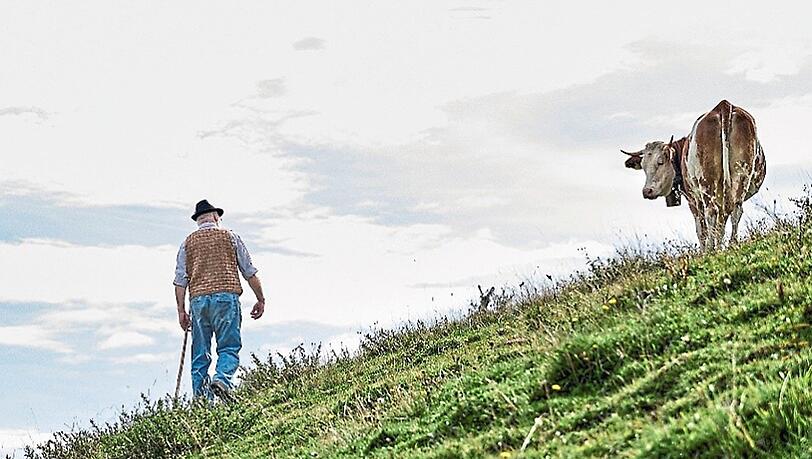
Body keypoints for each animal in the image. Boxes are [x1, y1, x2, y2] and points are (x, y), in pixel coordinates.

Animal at [621, 100, 766, 250]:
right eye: (643, 166)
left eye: (660, 162)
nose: (647, 191)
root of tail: (723, 106)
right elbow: (720, 223)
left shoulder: (693, 199)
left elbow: (701, 229)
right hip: (741, 175)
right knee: (735, 210)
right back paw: (733, 244)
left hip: (706, 183)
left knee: (711, 214)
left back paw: (710, 249)